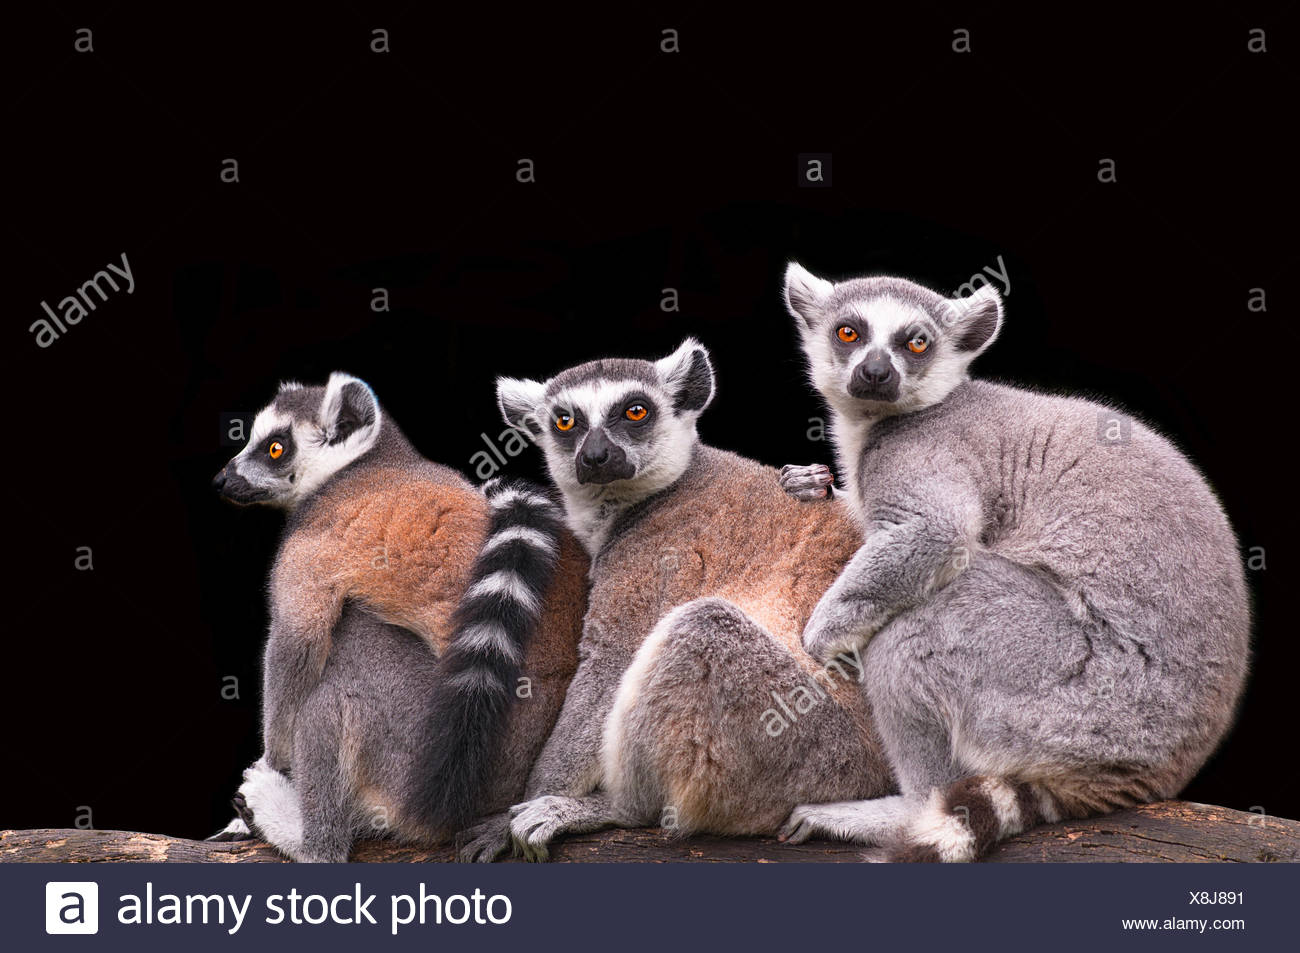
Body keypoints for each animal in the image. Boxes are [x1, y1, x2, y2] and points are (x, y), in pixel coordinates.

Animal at [208, 373, 587, 861]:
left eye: (275, 447)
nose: (222, 479)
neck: (362, 464)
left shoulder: (315, 541)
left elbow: (298, 643)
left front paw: (272, 765)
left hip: (416, 757)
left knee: (337, 688)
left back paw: (309, 839)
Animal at [455, 340, 897, 862]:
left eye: (635, 411)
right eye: (566, 421)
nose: (597, 456)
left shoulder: (653, 558)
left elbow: (609, 664)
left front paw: (520, 812)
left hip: (814, 750)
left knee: (700, 631)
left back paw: (619, 807)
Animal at [775, 264, 1250, 861]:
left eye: (916, 342)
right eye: (848, 333)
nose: (876, 373)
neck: (892, 418)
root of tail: (1161, 769)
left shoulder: (926, 450)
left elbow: (935, 533)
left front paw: (823, 635)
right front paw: (810, 485)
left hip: (1077, 695)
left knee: (921, 627)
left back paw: (905, 808)